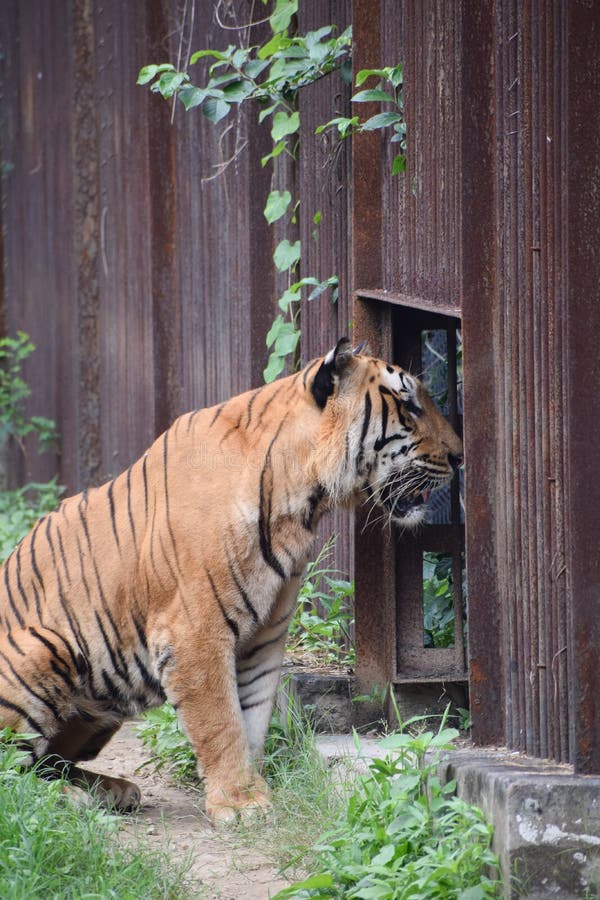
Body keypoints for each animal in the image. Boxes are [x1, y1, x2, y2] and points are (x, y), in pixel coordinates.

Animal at [0, 339, 462, 823]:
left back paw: (111, 789)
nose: (459, 456)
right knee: (13, 773)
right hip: (47, 648)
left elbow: (252, 719)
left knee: (49, 760)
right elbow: (221, 722)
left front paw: (253, 791)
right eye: (409, 405)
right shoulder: (194, 634)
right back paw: (71, 799)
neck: (301, 502)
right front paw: (239, 803)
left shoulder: (263, 636)